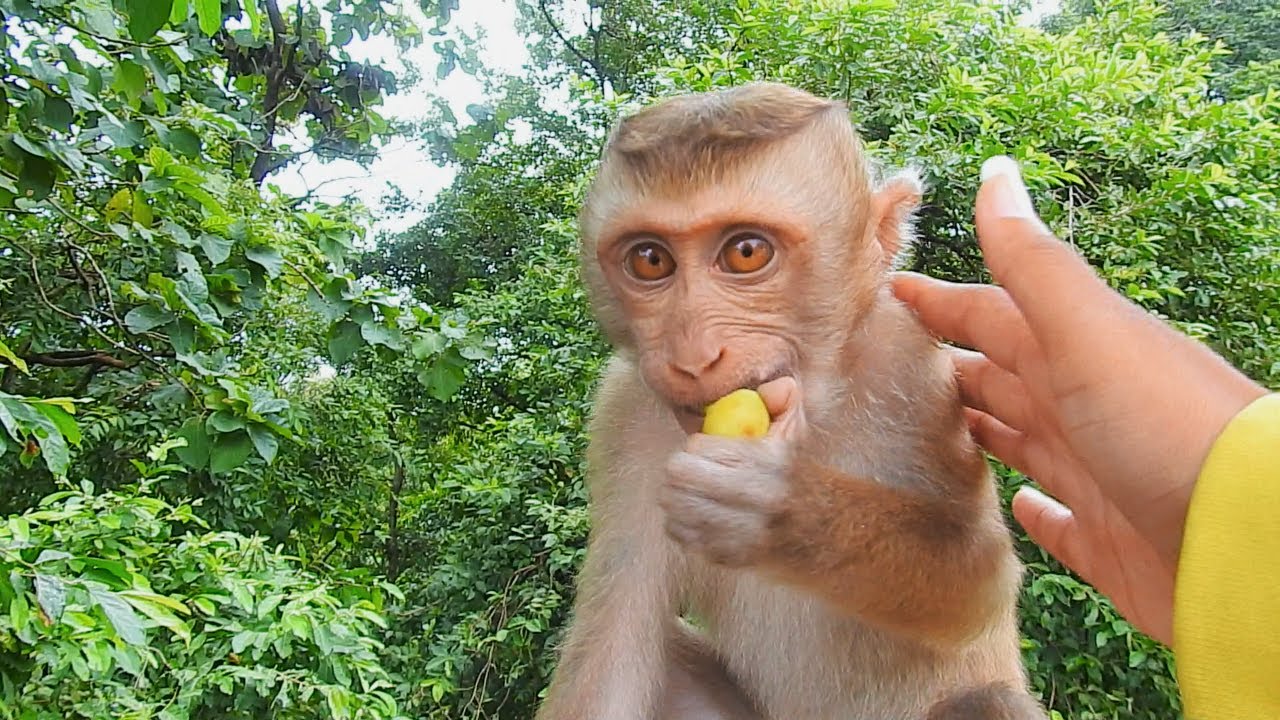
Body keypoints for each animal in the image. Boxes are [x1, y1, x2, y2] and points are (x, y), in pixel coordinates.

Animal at [535, 82, 1049, 720]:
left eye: (747, 253)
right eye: (649, 260)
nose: (693, 356)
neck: (818, 415)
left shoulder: (915, 370)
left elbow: (983, 580)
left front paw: (779, 507)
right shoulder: (624, 411)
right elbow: (613, 646)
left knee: (988, 700)